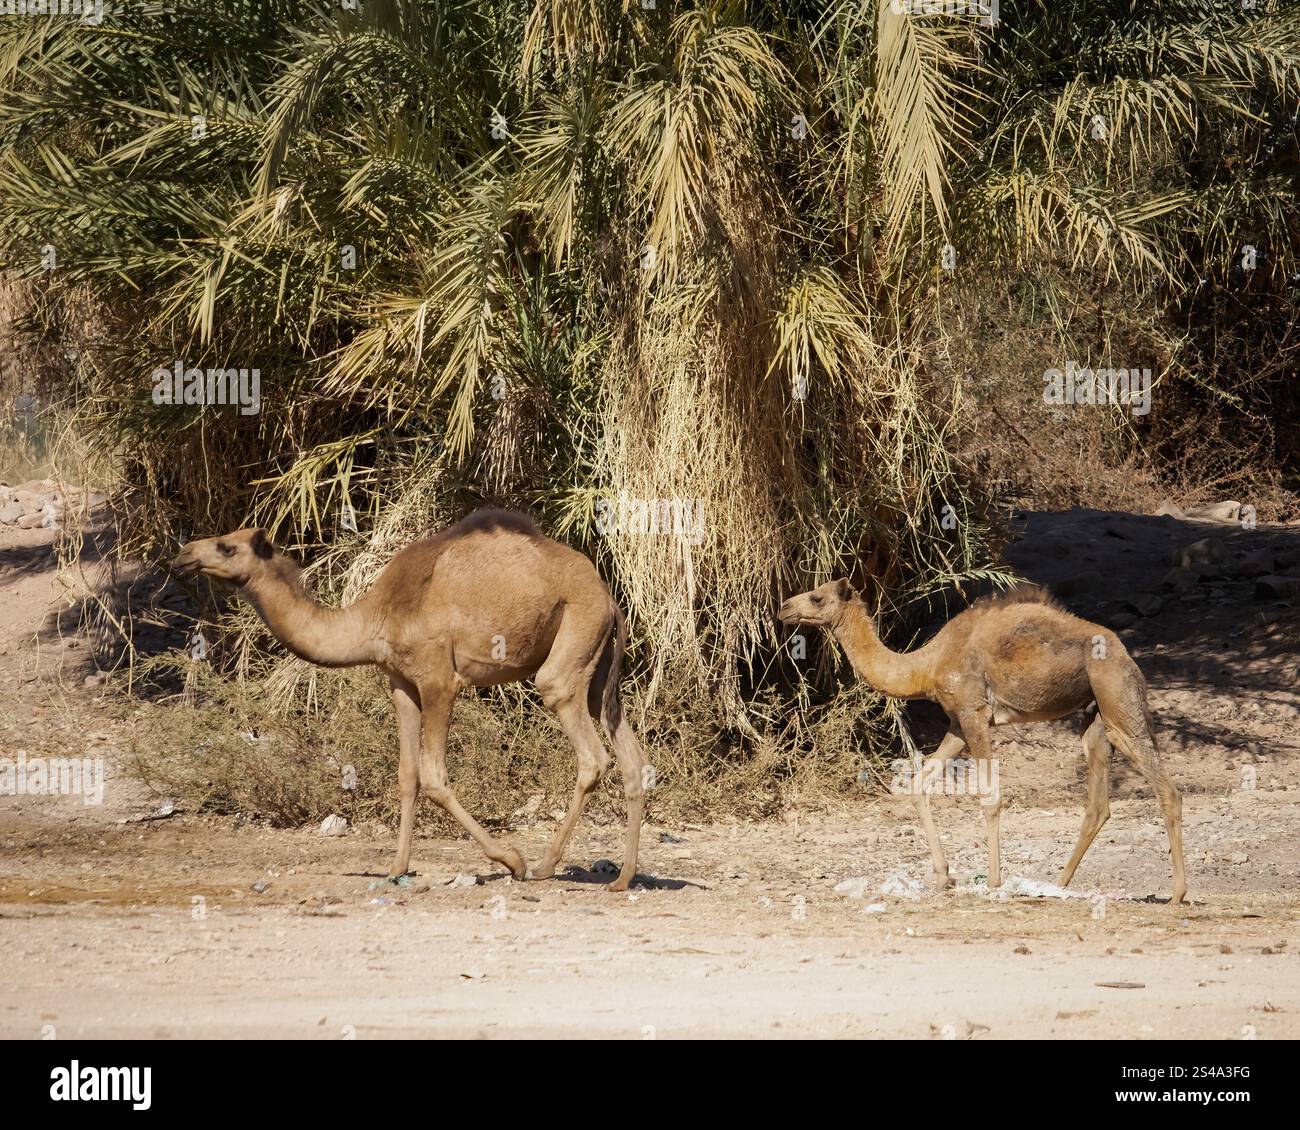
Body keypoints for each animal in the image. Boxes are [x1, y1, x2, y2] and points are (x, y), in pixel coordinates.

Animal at [171, 509, 648, 891]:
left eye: (226, 546)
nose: (182, 555)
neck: (376, 617)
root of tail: (609, 598)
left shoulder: (439, 679)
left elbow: (434, 777)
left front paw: (512, 860)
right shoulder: (401, 684)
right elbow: (407, 774)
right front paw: (396, 867)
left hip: (571, 643)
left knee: (589, 752)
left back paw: (546, 866)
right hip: (597, 668)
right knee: (631, 757)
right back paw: (622, 878)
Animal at [779, 580, 1186, 904]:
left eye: (817, 597)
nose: (784, 608)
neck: (926, 666)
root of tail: (1127, 657)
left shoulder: (975, 713)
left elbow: (990, 797)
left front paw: (992, 881)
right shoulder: (957, 723)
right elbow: (919, 783)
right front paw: (943, 876)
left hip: (1117, 698)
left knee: (1166, 787)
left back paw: (1178, 893)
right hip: (1094, 717)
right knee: (1098, 802)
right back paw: (1059, 884)